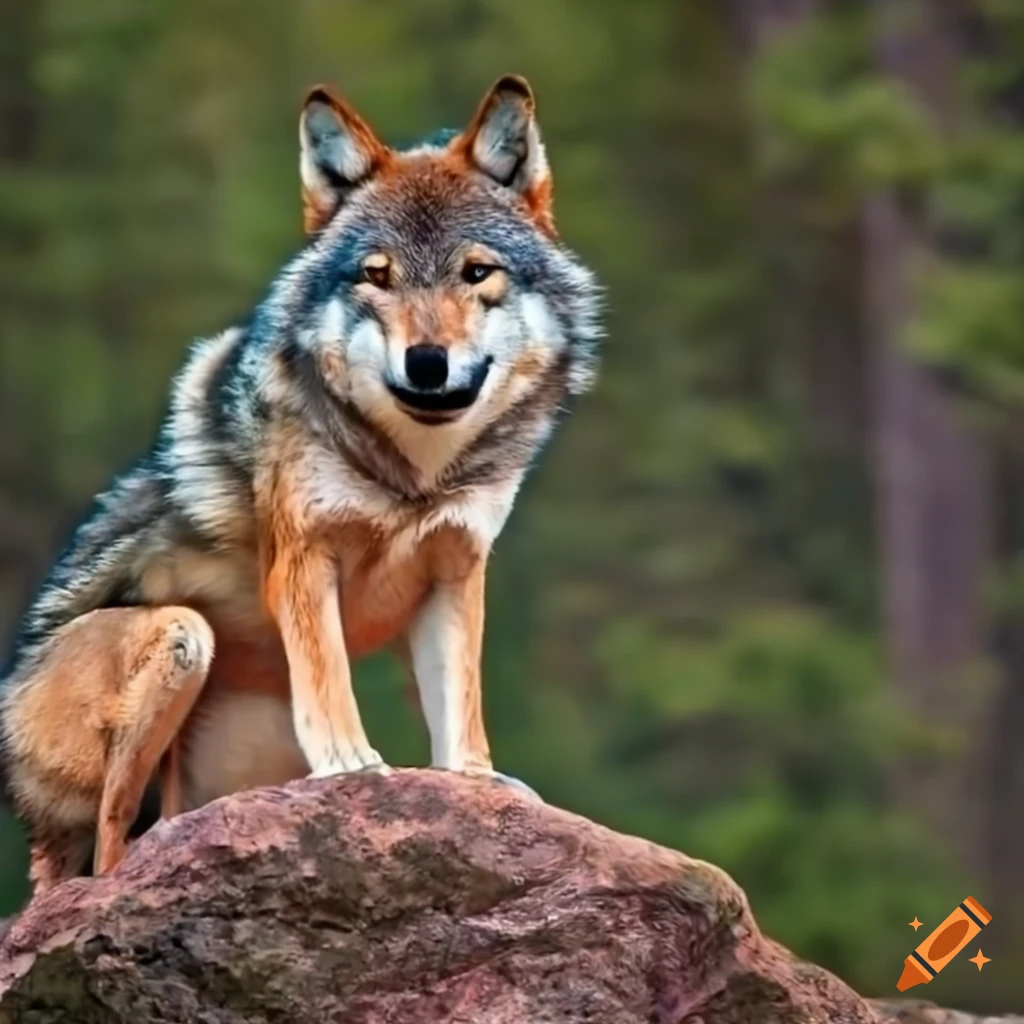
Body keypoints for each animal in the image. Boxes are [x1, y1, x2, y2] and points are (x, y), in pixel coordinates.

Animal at [0, 74, 602, 893]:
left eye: (477, 273)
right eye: (377, 276)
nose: (427, 362)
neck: (412, 473)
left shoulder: (455, 568)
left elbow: (461, 710)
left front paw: (478, 783)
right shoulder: (305, 558)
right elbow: (330, 682)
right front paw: (353, 768)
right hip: (181, 640)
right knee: (110, 846)